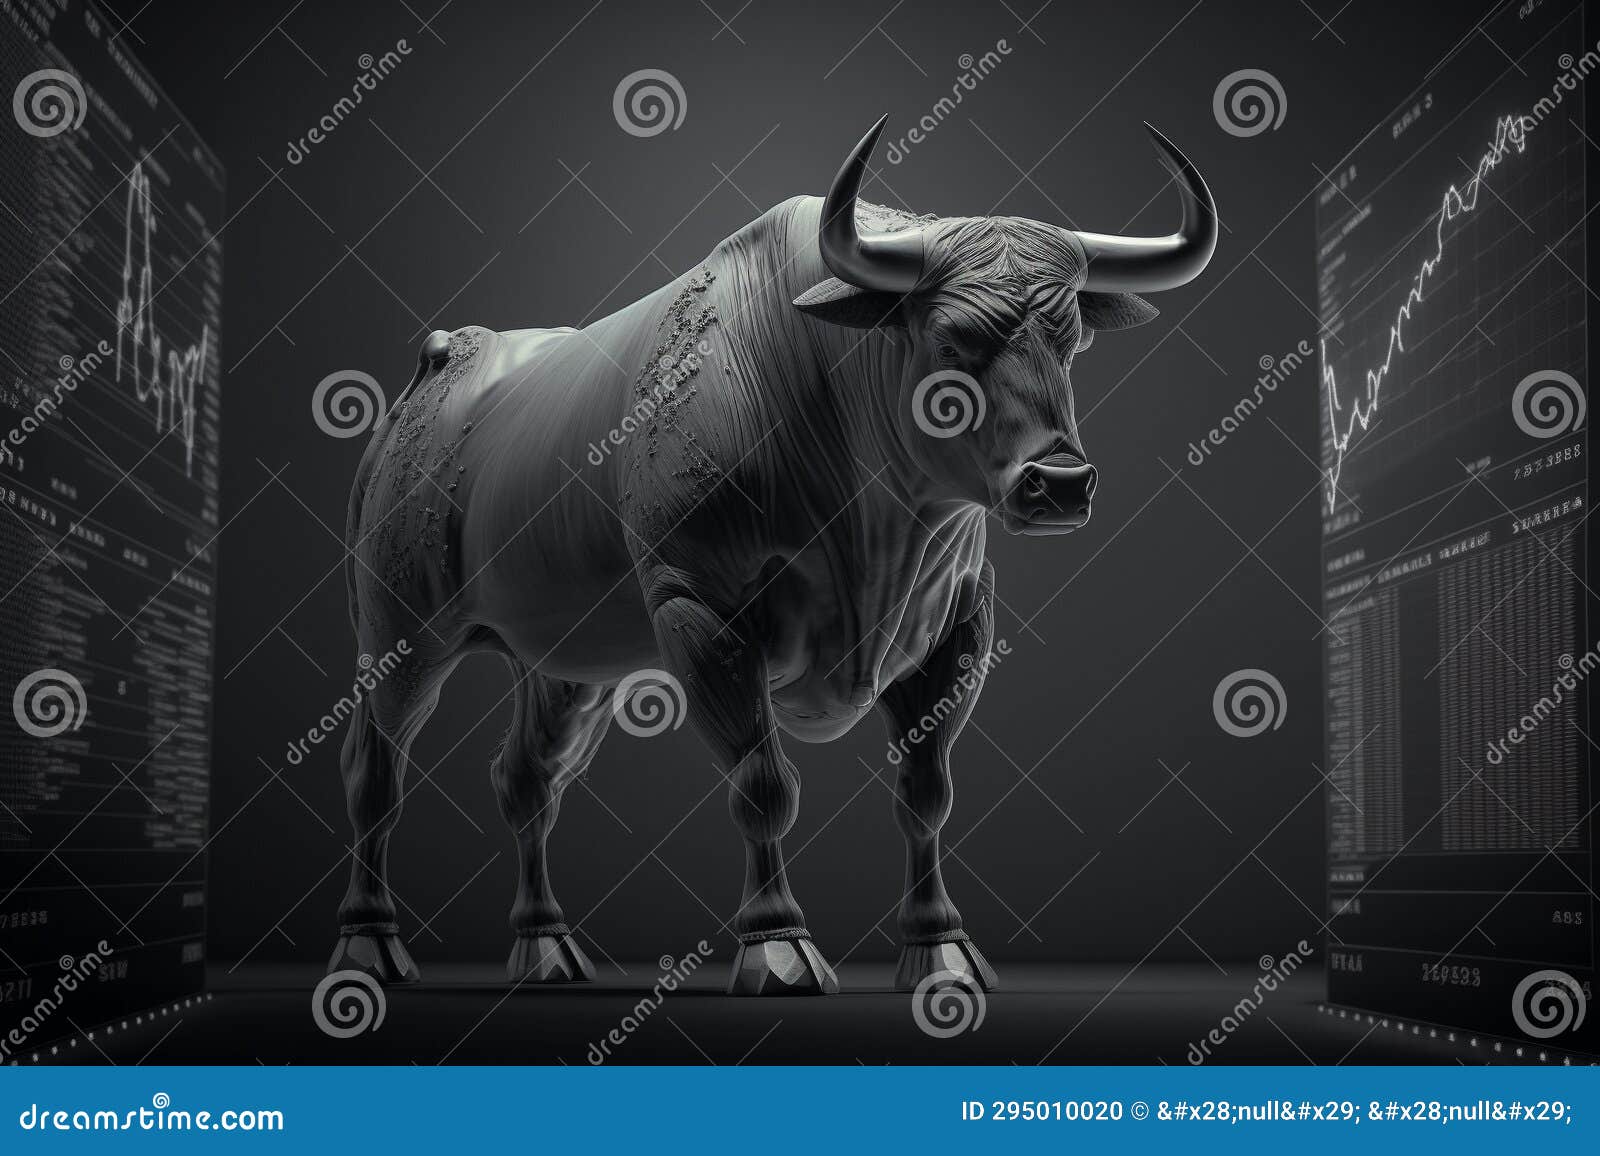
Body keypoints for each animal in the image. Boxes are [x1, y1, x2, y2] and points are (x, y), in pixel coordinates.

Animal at [329, 117, 1216, 995]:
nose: (1059, 484)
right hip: (399, 633)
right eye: (951, 338)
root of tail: (441, 363)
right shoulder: (702, 614)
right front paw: (776, 943)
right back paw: (368, 943)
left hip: (564, 664)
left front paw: (940, 948)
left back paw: (545, 944)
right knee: (375, 772)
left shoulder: (957, 624)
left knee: (526, 781)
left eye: (1070, 339)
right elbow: (762, 784)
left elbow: (925, 792)